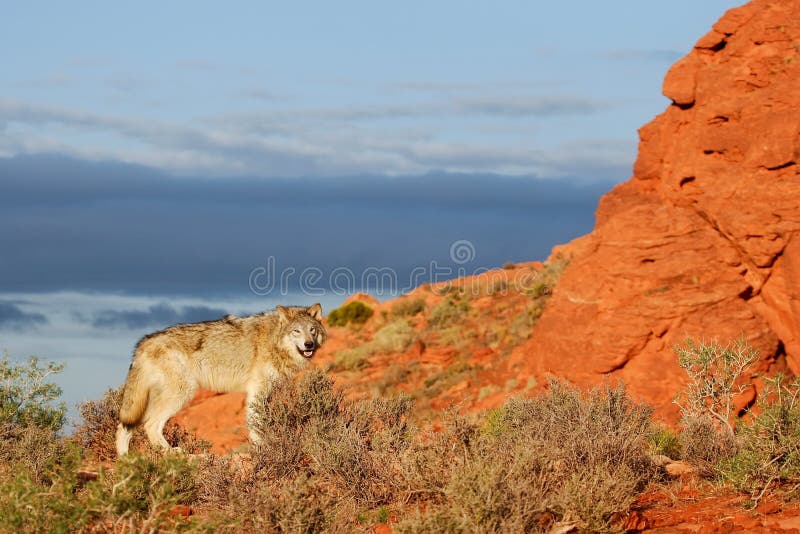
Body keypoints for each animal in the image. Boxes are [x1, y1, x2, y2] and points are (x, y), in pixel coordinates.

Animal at [115, 303, 326, 456]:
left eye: (312, 330)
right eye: (296, 331)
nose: (308, 344)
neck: (274, 341)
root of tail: (144, 342)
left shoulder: (265, 392)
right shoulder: (257, 391)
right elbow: (256, 425)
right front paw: (263, 447)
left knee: (124, 427)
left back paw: (126, 461)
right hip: (182, 394)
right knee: (150, 425)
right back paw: (171, 452)